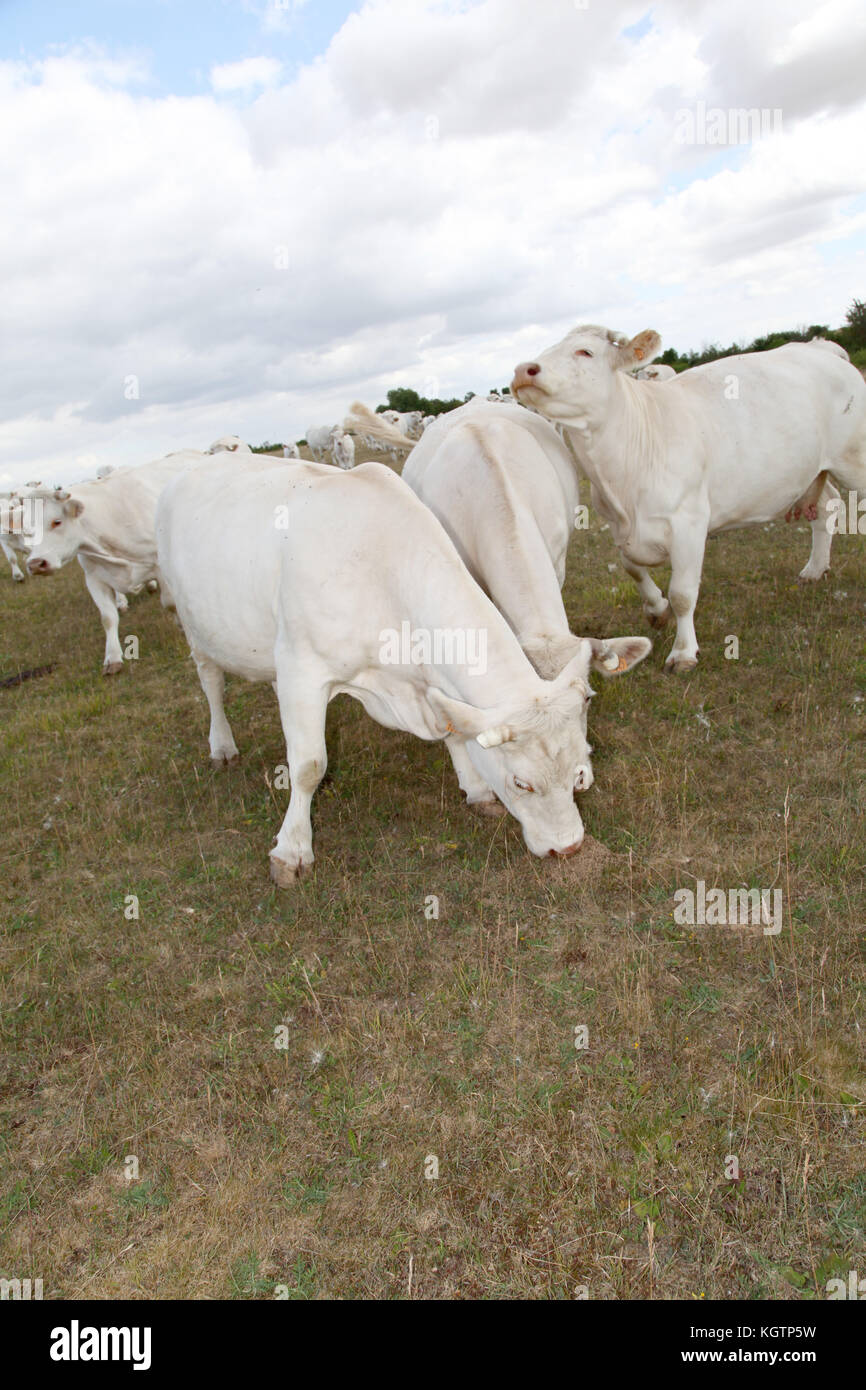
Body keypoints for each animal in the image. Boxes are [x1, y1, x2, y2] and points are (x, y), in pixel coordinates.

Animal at [25, 452, 207, 672]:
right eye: (28, 530)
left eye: (56, 521)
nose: (35, 564)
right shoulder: (94, 578)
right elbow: (107, 617)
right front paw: (112, 657)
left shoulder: (159, 566)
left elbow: (169, 602)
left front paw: (180, 626)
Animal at [156, 456, 645, 883]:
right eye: (521, 784)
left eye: (579, 771)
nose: (569, 847)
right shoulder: (302, 669)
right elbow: (309, 764)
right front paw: (291, 851)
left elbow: (455, 732)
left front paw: (476, 790)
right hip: (193, 621)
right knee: (210, 680)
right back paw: (222, 745)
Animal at [512, 325, 866, 671]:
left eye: (585, 351)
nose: (522, 370)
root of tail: (820, 347)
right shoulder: (617, 525)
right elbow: (632, 568)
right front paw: (656, 610)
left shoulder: (689, 523)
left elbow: (682, 594)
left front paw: (683, 652)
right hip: (813, 473)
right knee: (826, 506)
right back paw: (814, 570)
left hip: (854, 460)